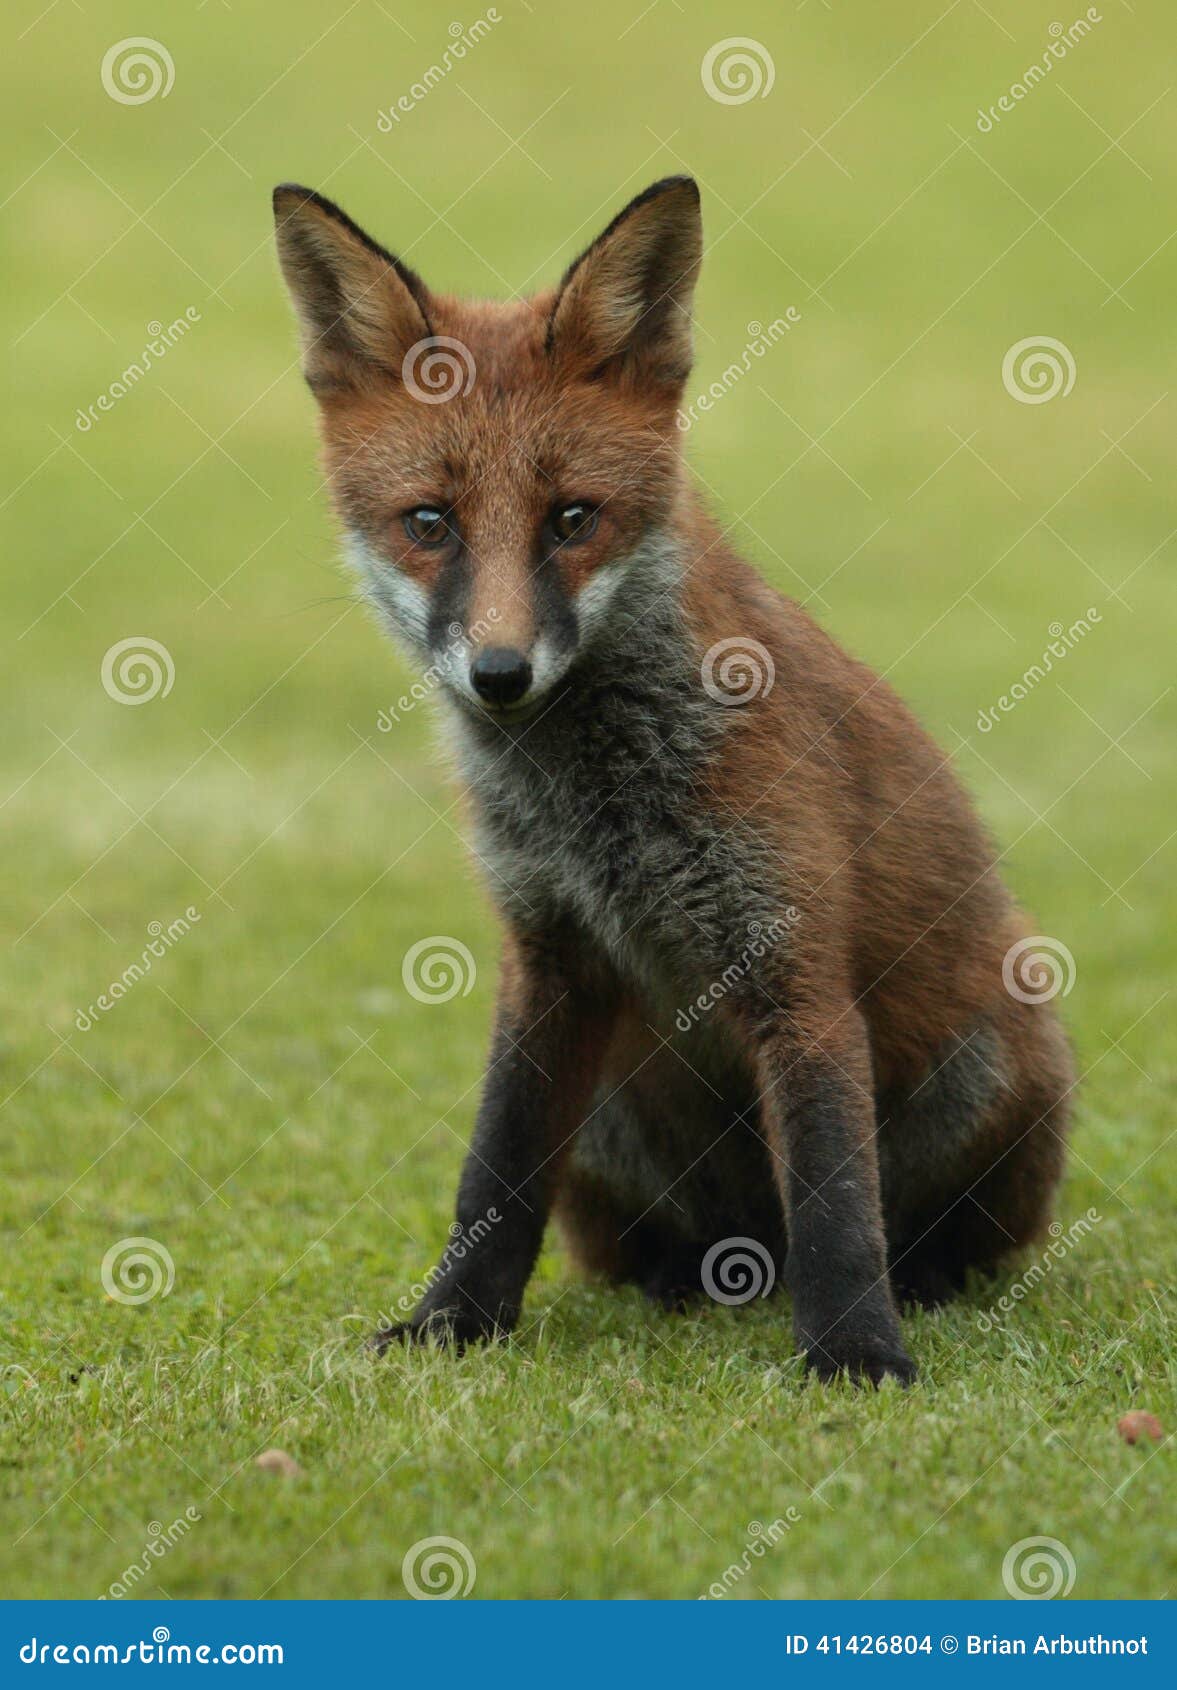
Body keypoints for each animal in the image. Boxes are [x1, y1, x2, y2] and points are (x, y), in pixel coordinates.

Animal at [273, 175, 1074, 1385]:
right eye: (430, 524)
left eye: (572, 518)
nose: (499, 675)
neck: (596, 802)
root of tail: (754, 1259)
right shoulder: (547, 959)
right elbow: (492, 1180)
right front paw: (450, 1323)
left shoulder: (794, 966)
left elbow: (838, 1205)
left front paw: (856, 1356)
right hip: (609, 1107)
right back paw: (677, 1283)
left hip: (991, 1050)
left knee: (918, 1235)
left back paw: (920, 1286)